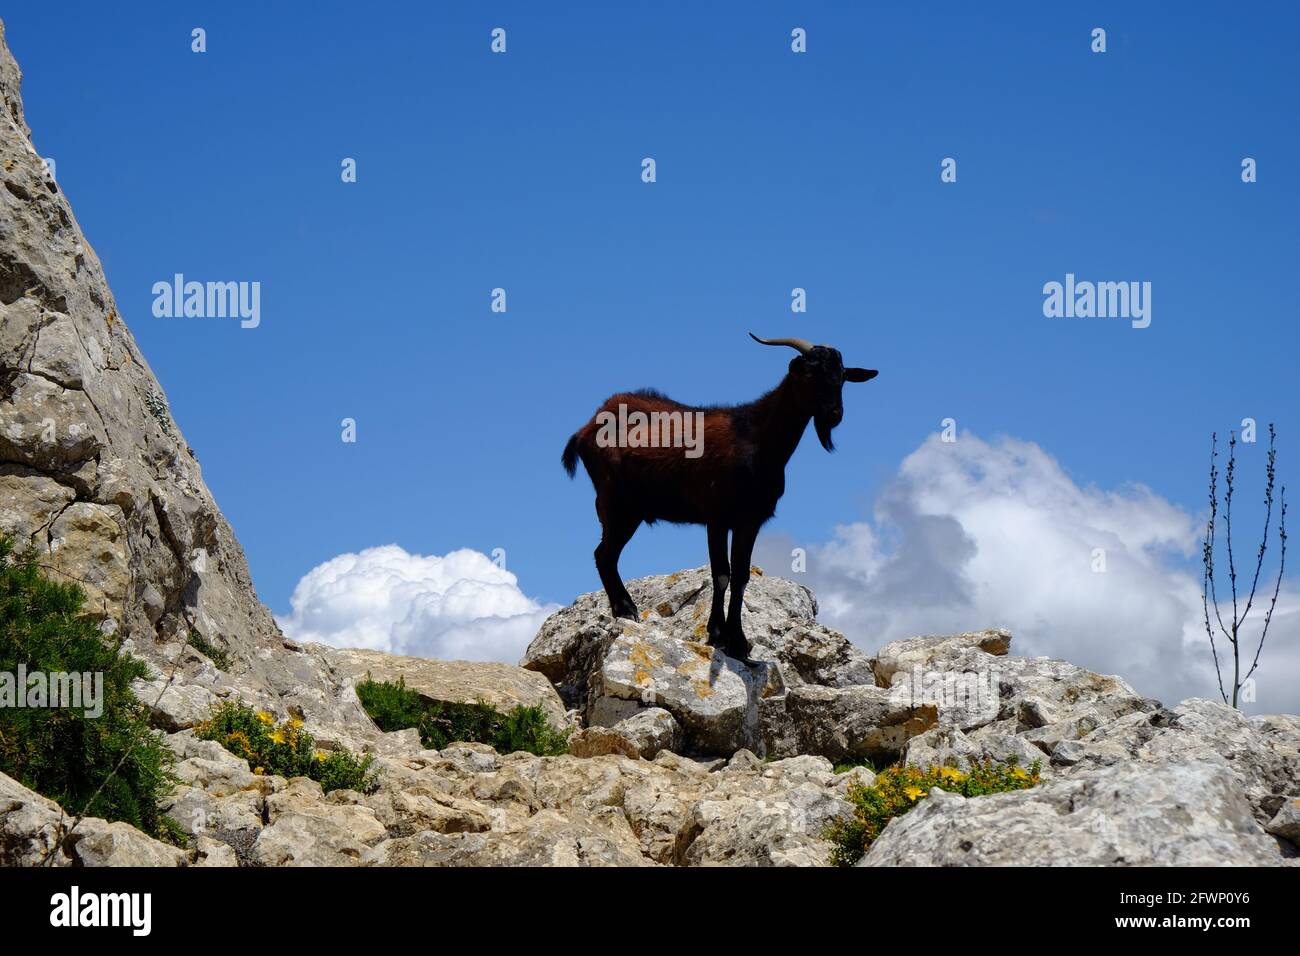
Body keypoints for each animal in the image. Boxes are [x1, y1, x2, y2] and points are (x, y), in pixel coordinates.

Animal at [561, 333, 878, 662]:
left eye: (841, 377)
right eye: (808, 372)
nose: (834, 414)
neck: (757, 438)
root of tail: (586, 428)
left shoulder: (750, 520)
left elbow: (741, 576)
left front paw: (738, 642)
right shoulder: (716, 517)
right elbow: (721, 574)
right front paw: (717, 634)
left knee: (606, 554)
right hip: (616, 504)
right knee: (604, 554)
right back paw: (626, 610)